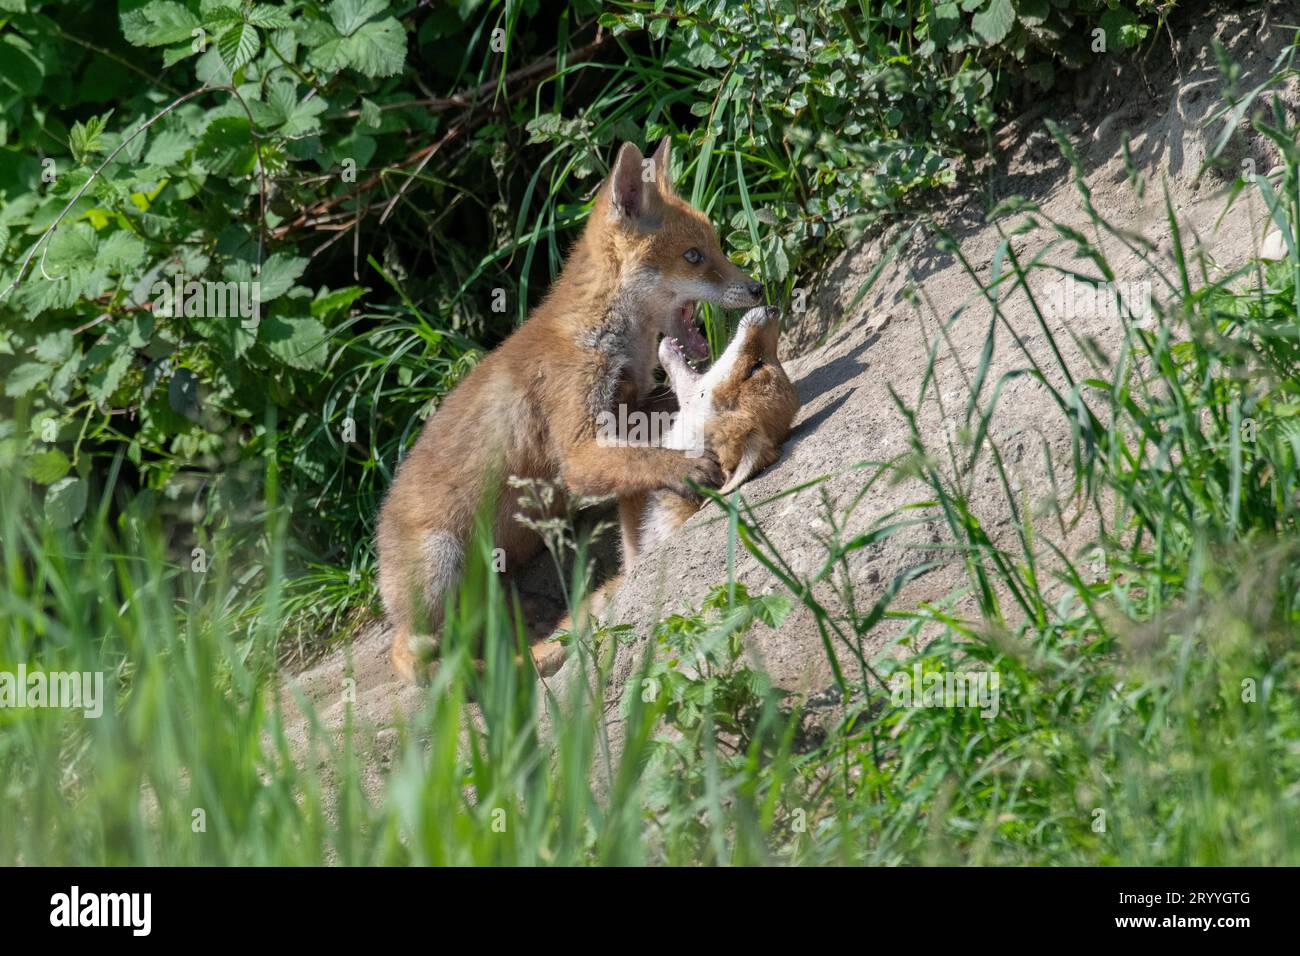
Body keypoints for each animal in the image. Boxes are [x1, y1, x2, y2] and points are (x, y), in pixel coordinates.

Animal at [376, 137, 764, 682]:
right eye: (693, 256)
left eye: (718, 245)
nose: (757, 289)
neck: (600, 335)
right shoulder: (577, 449)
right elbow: (639, 459)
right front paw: (684, 467)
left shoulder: (630, 400)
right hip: (441, 560)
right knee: (416, 653)